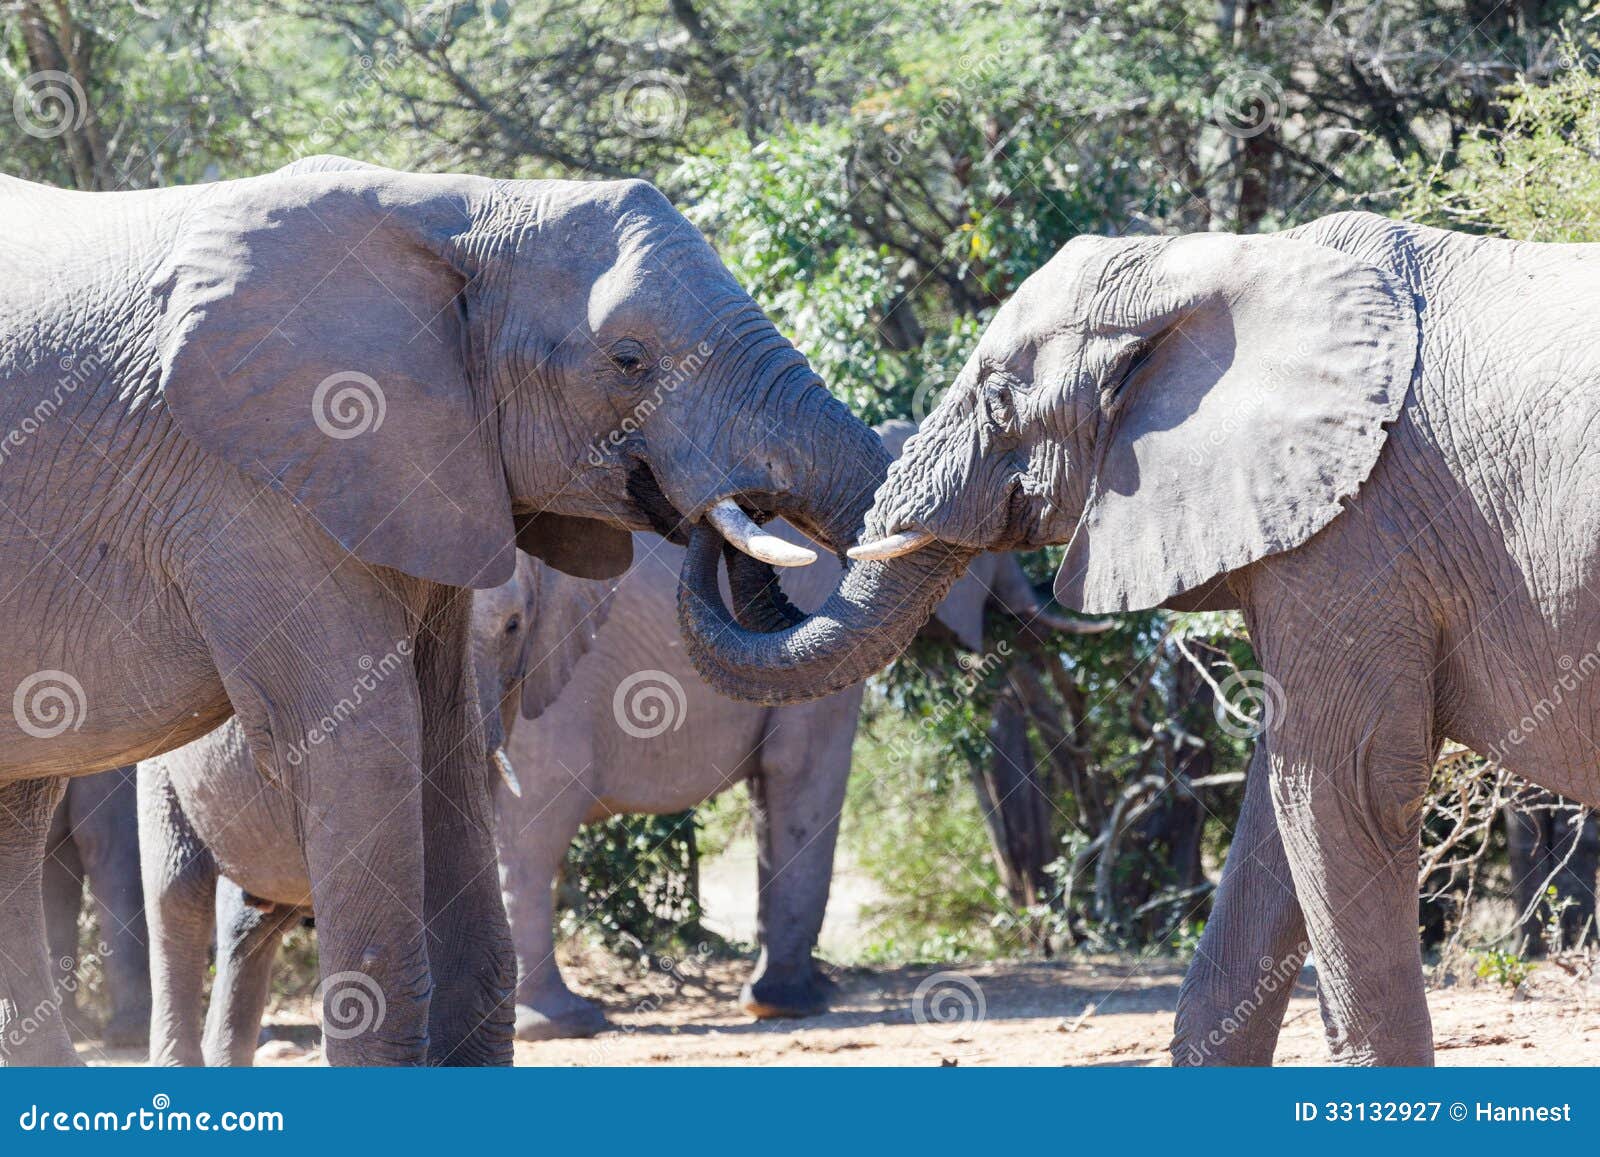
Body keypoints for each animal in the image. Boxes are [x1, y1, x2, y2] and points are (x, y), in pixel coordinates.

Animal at [680, 210, 1600, 1066]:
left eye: (1000, 399)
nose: (733, 502)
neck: (1211, 261)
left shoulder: (1357, 526)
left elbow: (1347, 779)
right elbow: (1282, 799)